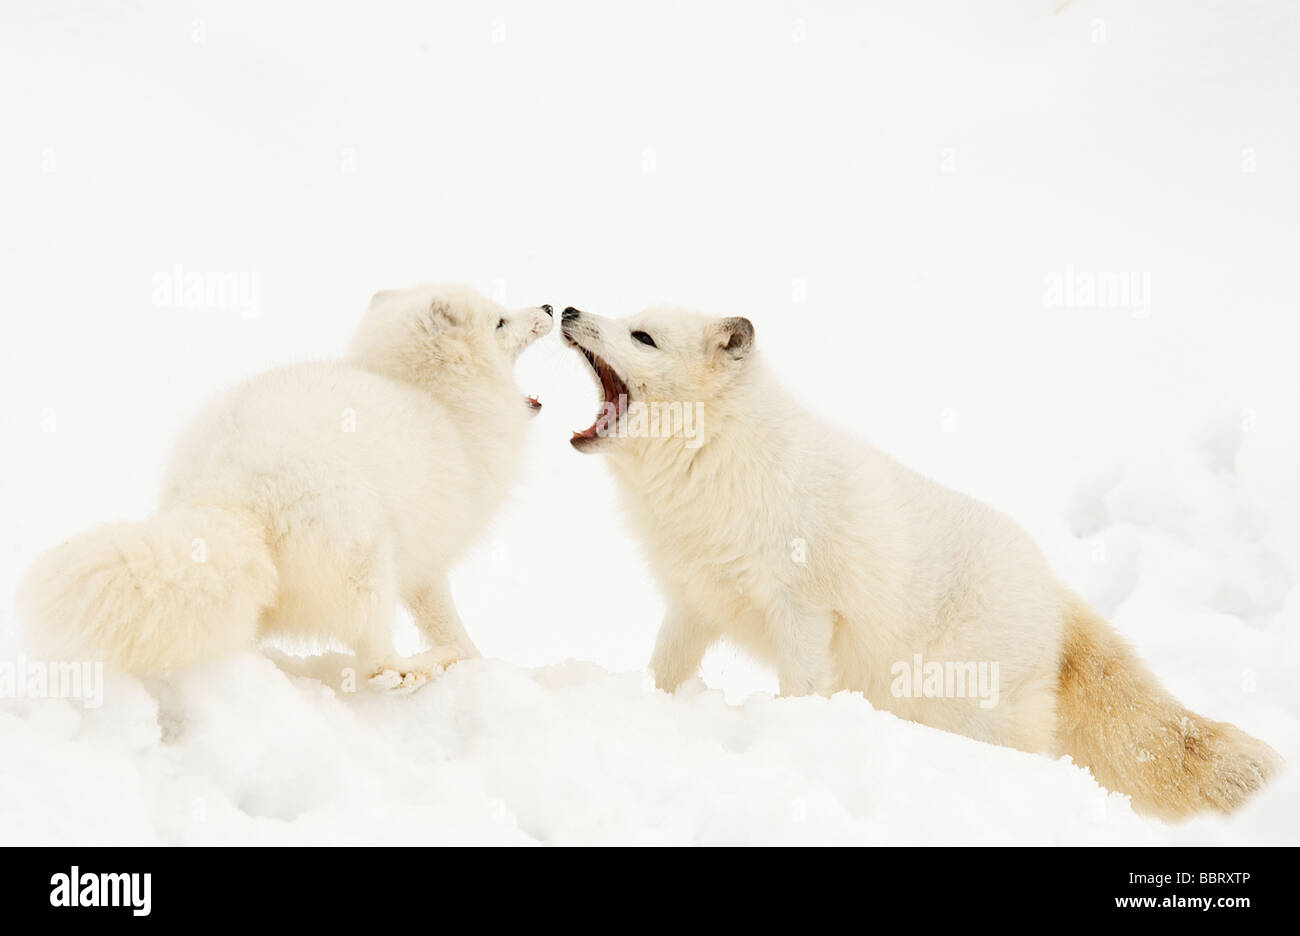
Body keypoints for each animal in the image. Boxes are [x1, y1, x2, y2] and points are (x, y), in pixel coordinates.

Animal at [19, 284, 553, 689]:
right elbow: (449, 621)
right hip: (367, 555)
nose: (549, 308)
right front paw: (479, 661)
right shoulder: (427, 561)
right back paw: (429, 664)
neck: (439, 404)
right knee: (378, 666)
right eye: (500, 321)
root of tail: (225, 494)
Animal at [560, 304, 1282, 820]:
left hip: (967, 709)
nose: (566, 309)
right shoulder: (693, 601)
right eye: (630, 317)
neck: (718, 460)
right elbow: (664, 670)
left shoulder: (805, 610)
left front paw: (792, 738)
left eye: (642, 336)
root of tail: (1056, 593)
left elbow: (800, 687)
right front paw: (648, 708)